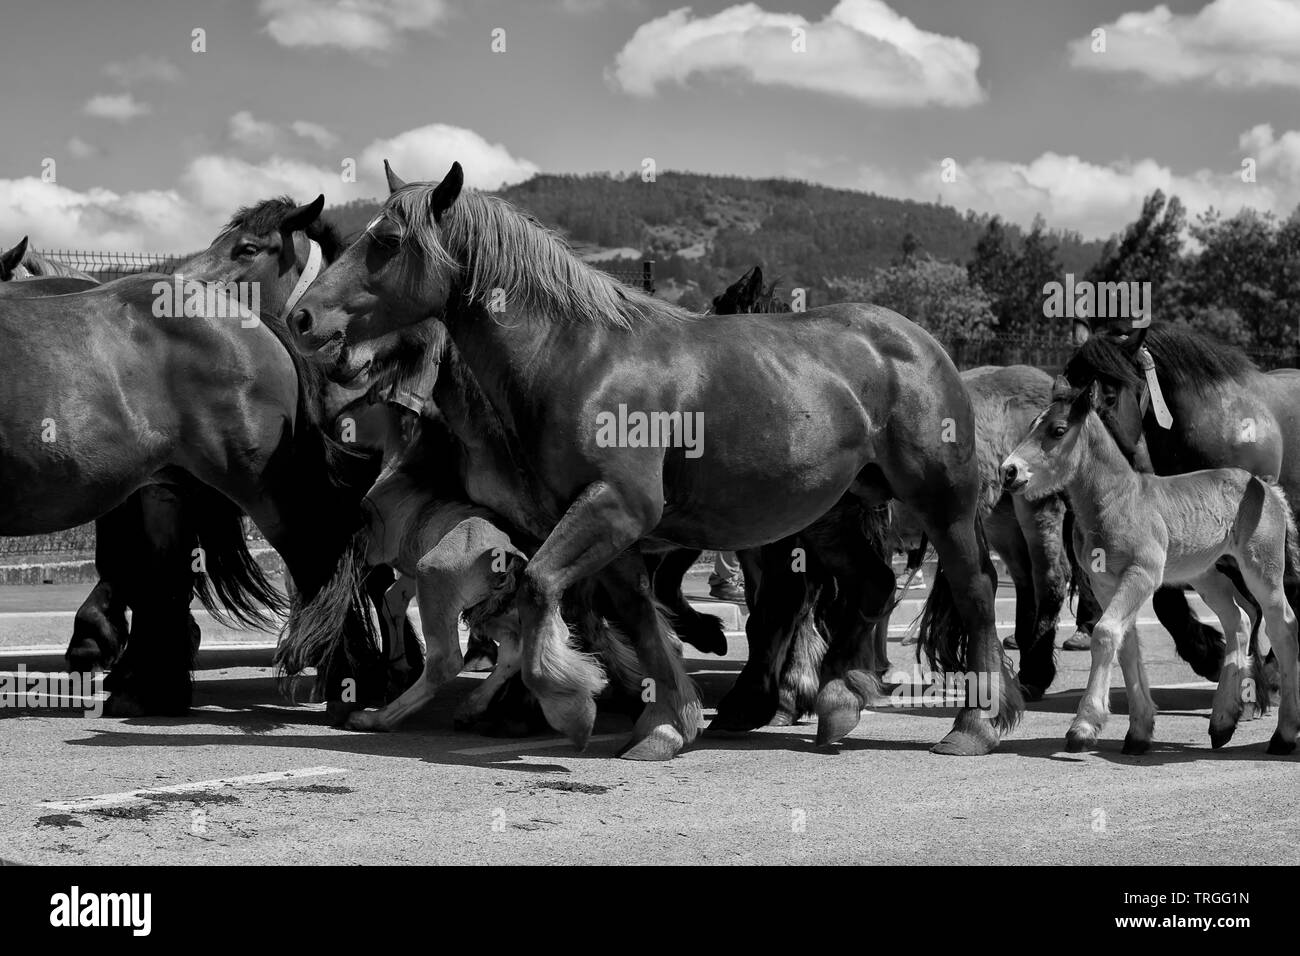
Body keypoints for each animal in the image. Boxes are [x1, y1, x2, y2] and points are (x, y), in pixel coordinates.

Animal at [288, 160, 1017, 759]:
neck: (581, 357)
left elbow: (541, 587)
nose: (301, 319)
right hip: (834, 513)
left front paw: (569, 702)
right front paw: (667, 722)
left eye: (387, 241)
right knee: (870, 586)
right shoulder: (601, 522)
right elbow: (638, 616)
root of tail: (920, 341)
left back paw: (973, 723)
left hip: (939, 502)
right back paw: (839, 698)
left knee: (974, 589)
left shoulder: (617, 509)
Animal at [1002, 377, 1298, 755]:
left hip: (1262, 569)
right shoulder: (1105, 584)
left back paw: (1283, 734)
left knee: (1282, 625)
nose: (1008, 471)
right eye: (1030, 426)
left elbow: (1105, 633)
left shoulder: (1142, 574)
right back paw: (1223, 721)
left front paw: (1083, 727)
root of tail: (1267, 488)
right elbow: (1126, 645)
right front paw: (1139, 731)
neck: (1116, 499)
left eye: (1057, 430)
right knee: (1239, 621)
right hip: (1206, 575)